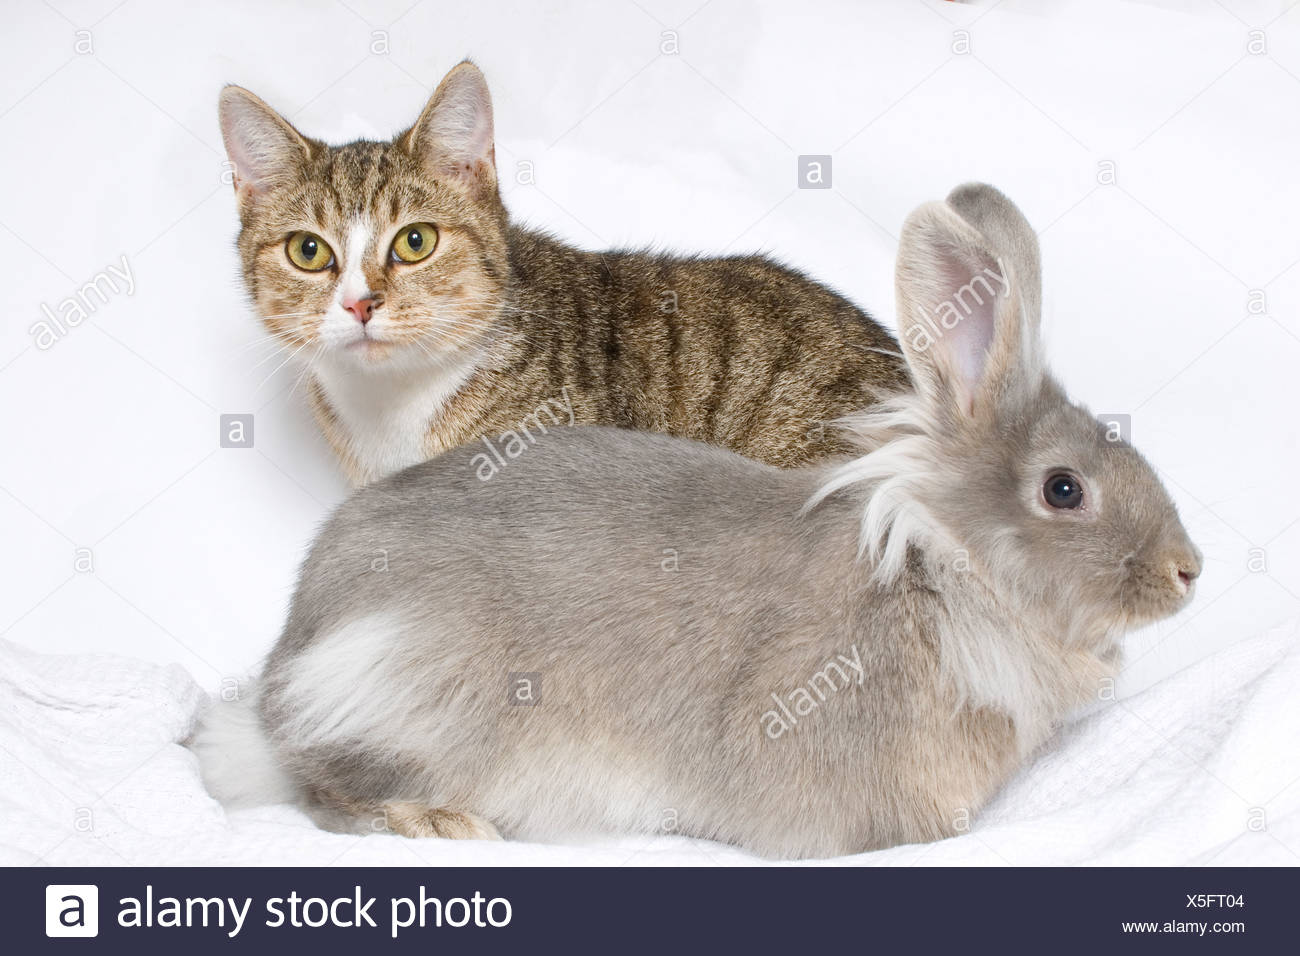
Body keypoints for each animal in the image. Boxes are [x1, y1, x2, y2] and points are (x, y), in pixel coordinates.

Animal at [202, 183, 1202, 860]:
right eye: (1064, 490)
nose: (1190, 571)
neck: (940, 574)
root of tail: (300, 648)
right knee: (320, 789)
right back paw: (439, 822)